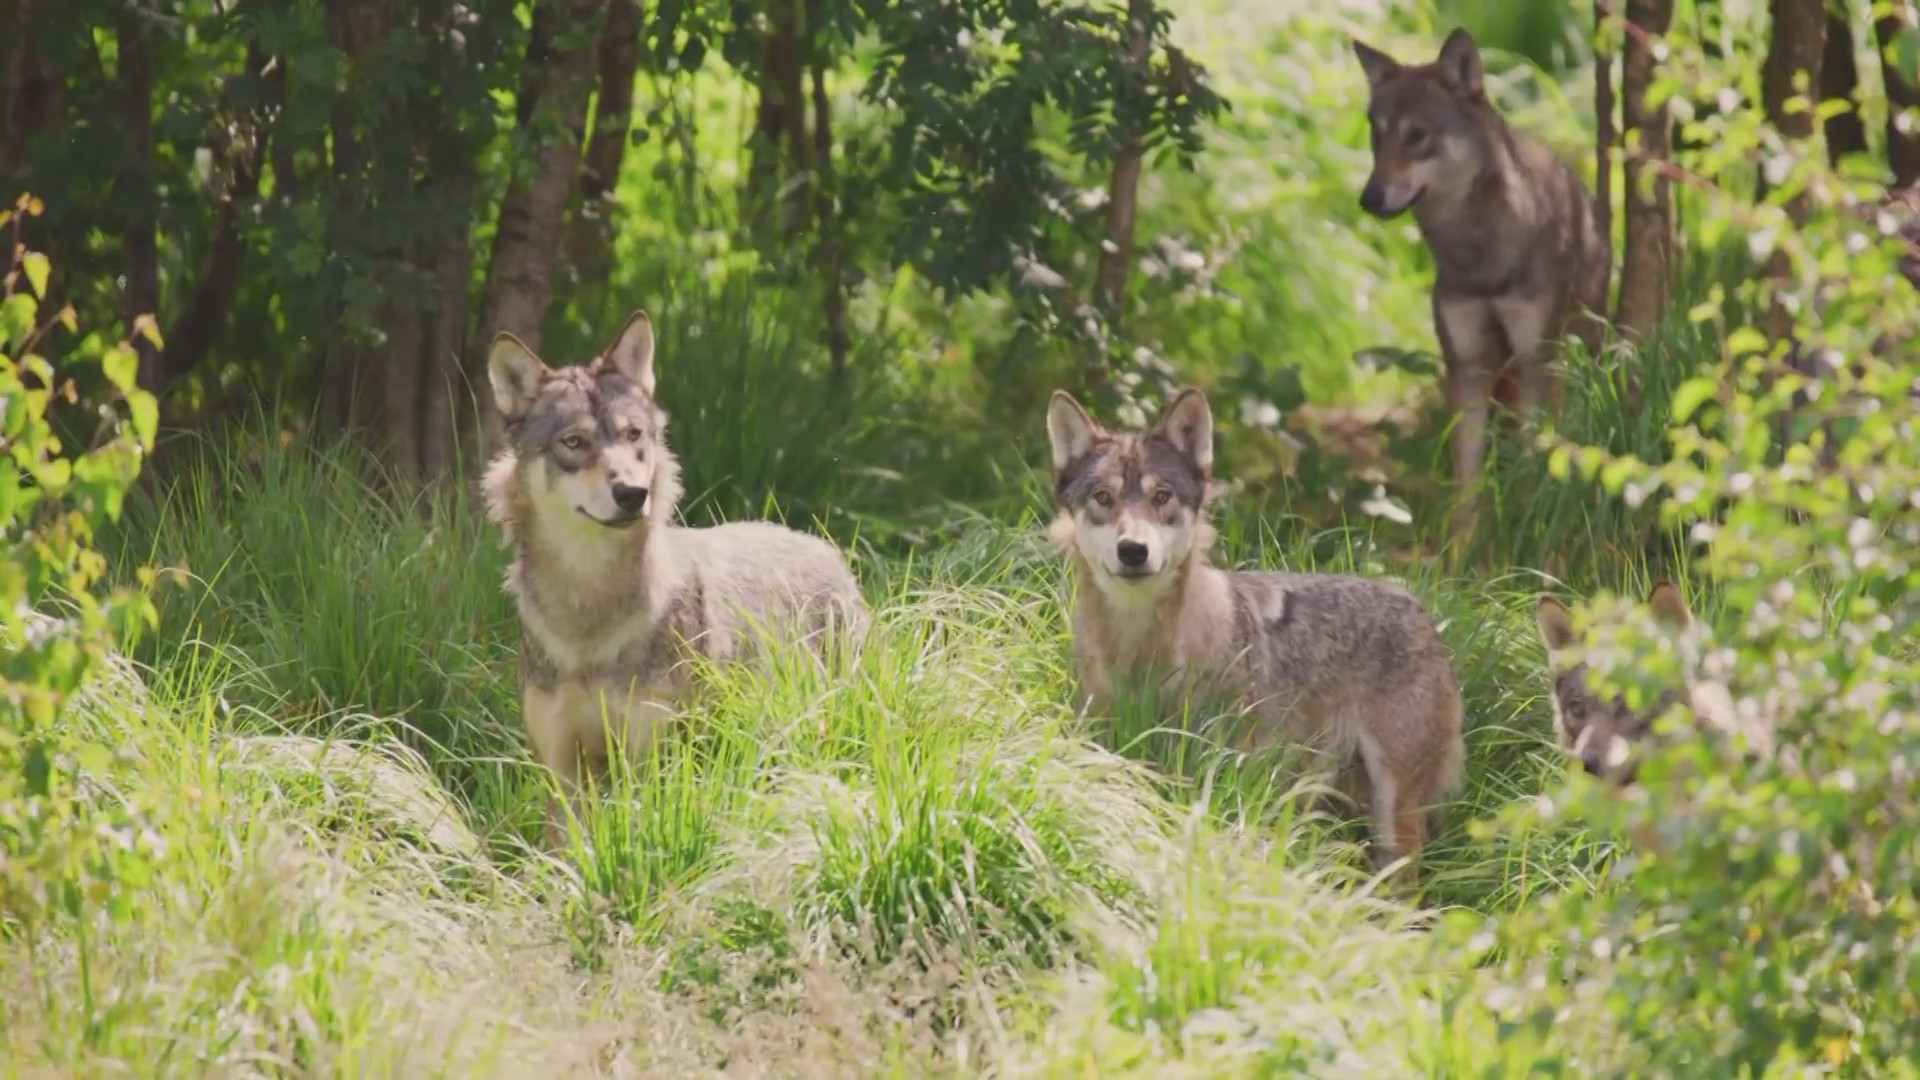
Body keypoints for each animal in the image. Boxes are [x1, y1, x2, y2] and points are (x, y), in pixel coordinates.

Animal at [484, 310, 868, 845]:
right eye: (574, 443)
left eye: (633, 436)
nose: (632, 494)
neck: (587, 622)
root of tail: (828, 550)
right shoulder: (562, 770)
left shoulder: (649, 758)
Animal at [1045, 388, 1467, 874]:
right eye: (1103, 497)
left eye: (1162, 496)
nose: (1133, 550)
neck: (1141, 653)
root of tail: (1423, 613)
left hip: (1392, 812)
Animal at [1352, 28, 1611, 545]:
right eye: (1377, 132)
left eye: (1417, 135)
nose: (1369, 198)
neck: (1477, 255)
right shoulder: (1466, 367)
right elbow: (1466, 485)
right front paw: (1461, 555)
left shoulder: (1536, 362)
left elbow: (1534, 461)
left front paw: (1525, 536)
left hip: (1567, 360)